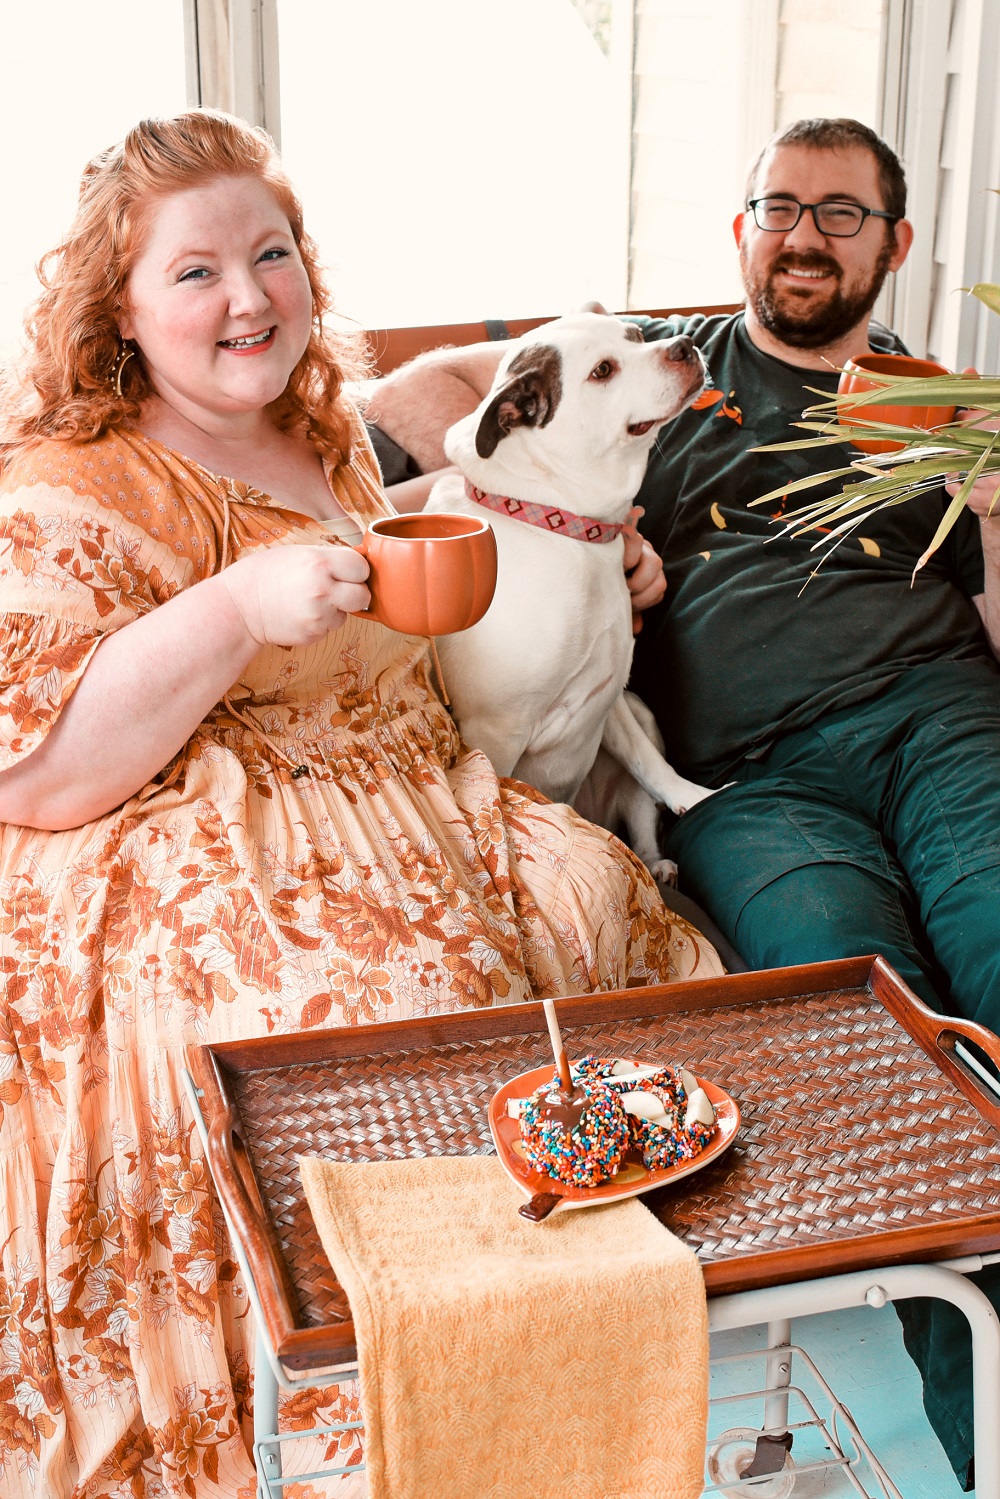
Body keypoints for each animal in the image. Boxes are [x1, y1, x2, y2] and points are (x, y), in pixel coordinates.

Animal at [425, 310, 716, 857]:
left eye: (636, 336)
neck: (563, 528)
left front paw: (693, 796)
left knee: (639, 812)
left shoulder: (611, 694)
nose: (685, 345)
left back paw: (657, 861)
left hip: (640, 710)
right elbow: (496, 797)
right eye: (603, 371)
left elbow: (648, 763)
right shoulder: (494, 731)